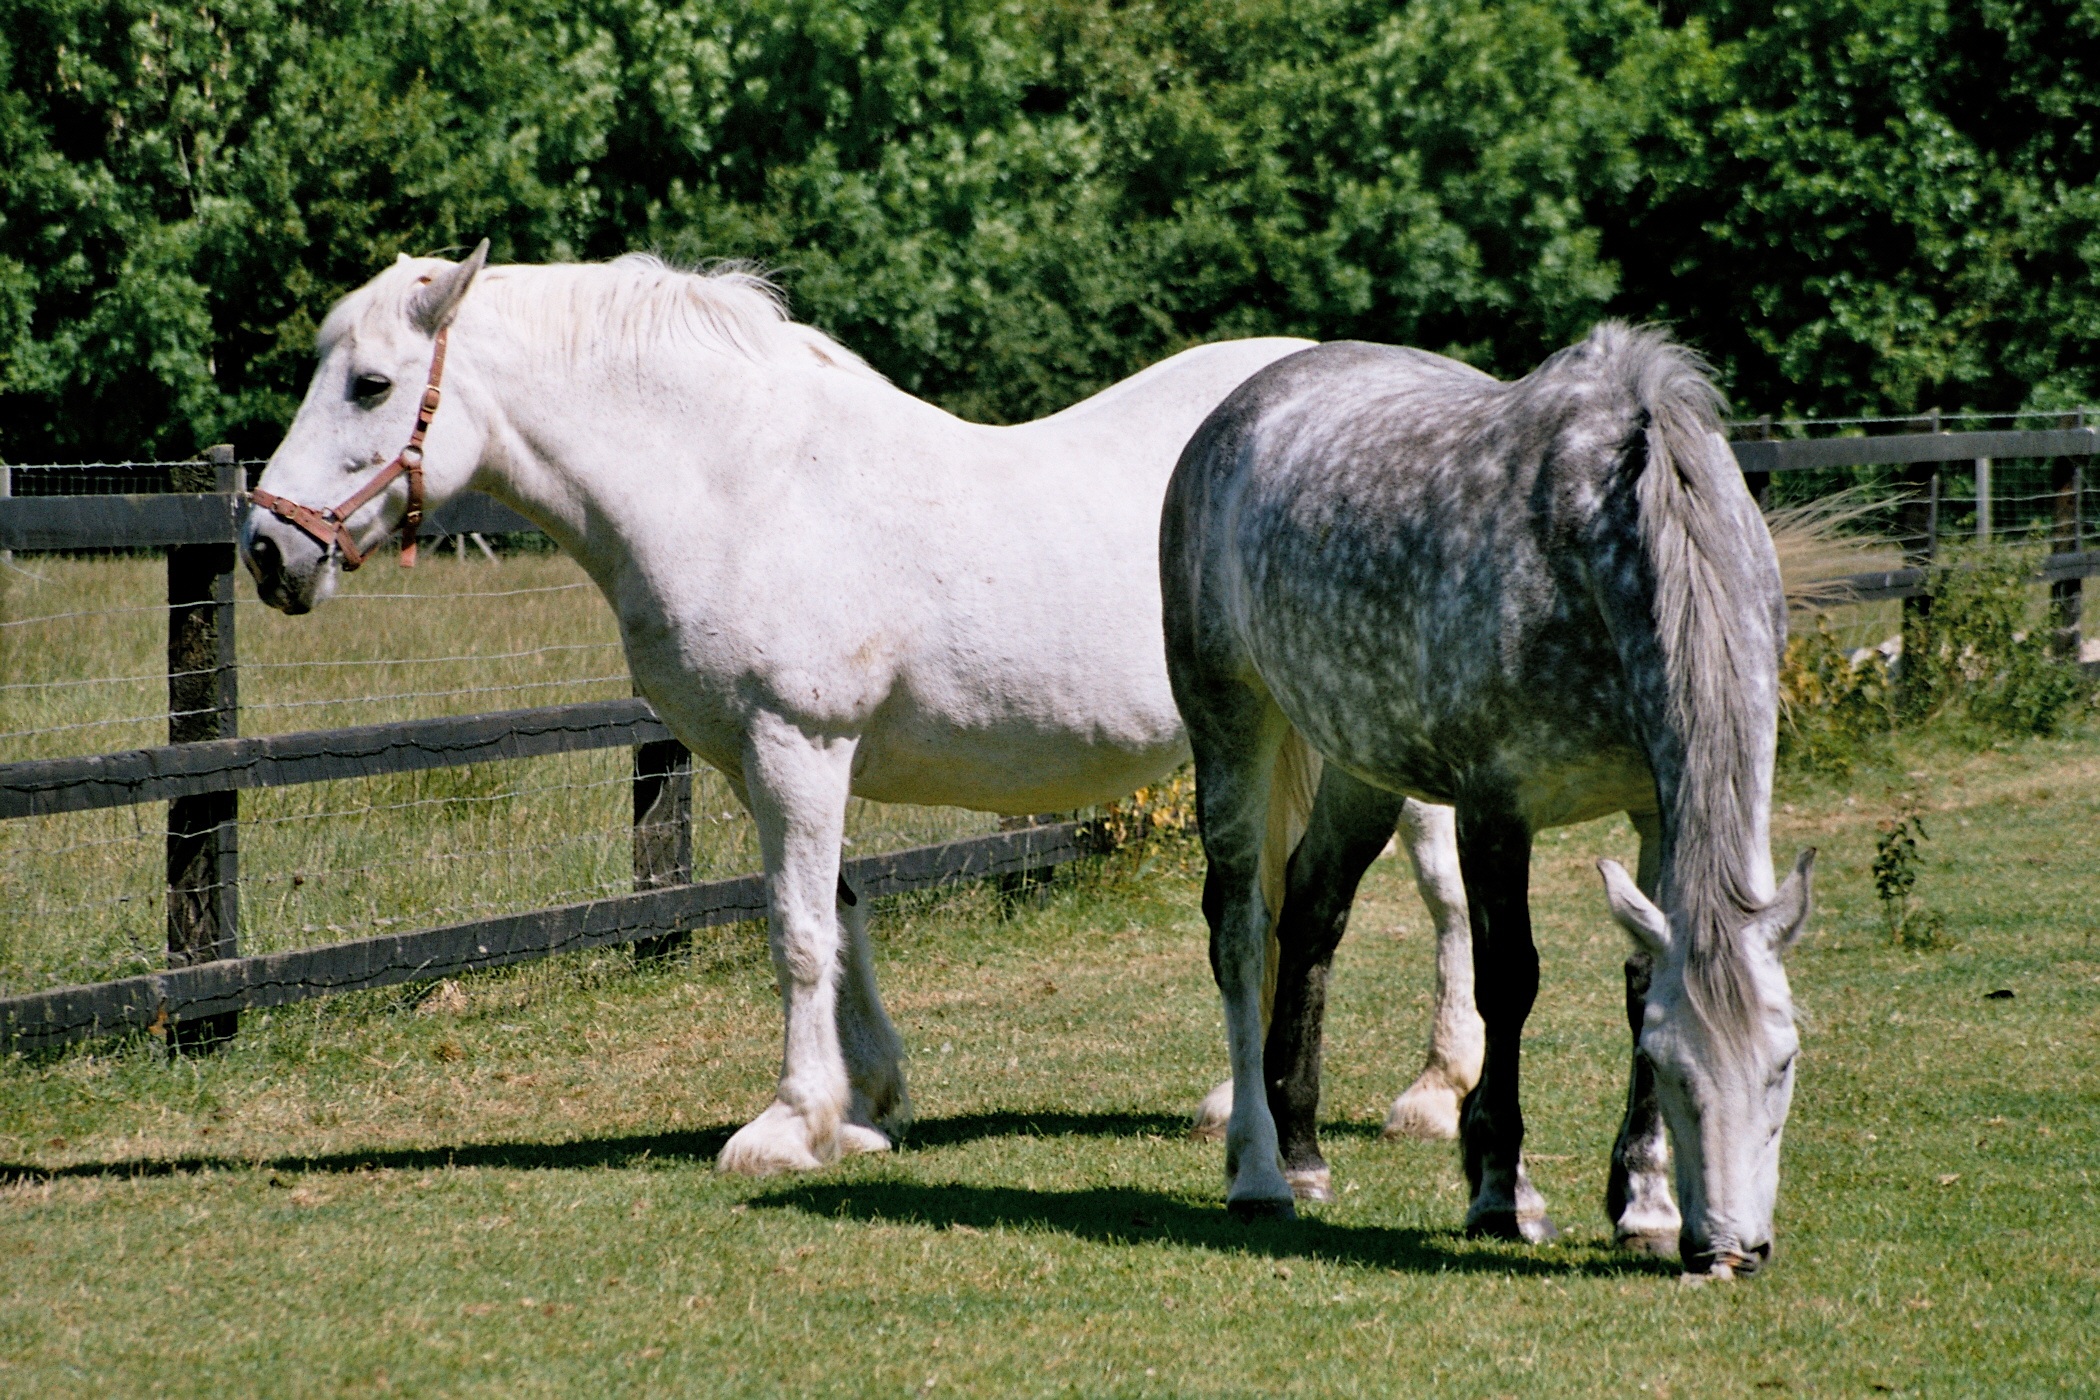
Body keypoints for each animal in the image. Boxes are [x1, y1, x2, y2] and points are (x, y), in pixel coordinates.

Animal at [1160, 324, 1814, 1277]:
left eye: (1785, 1062)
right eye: (1672, 1068)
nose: (1729, 1251)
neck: (1599, 546)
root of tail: (1238, 410)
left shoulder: (1656, 809)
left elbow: (1638, 977)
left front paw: (1643, 1203)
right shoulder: (1495, 808)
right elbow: (1507, 982)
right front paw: (1503, 1193)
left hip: (1360, 761)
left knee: (1313, 913)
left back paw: (1304, 1153)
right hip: (1230, 723)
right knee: (1241, 931)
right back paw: (1258, 1172)